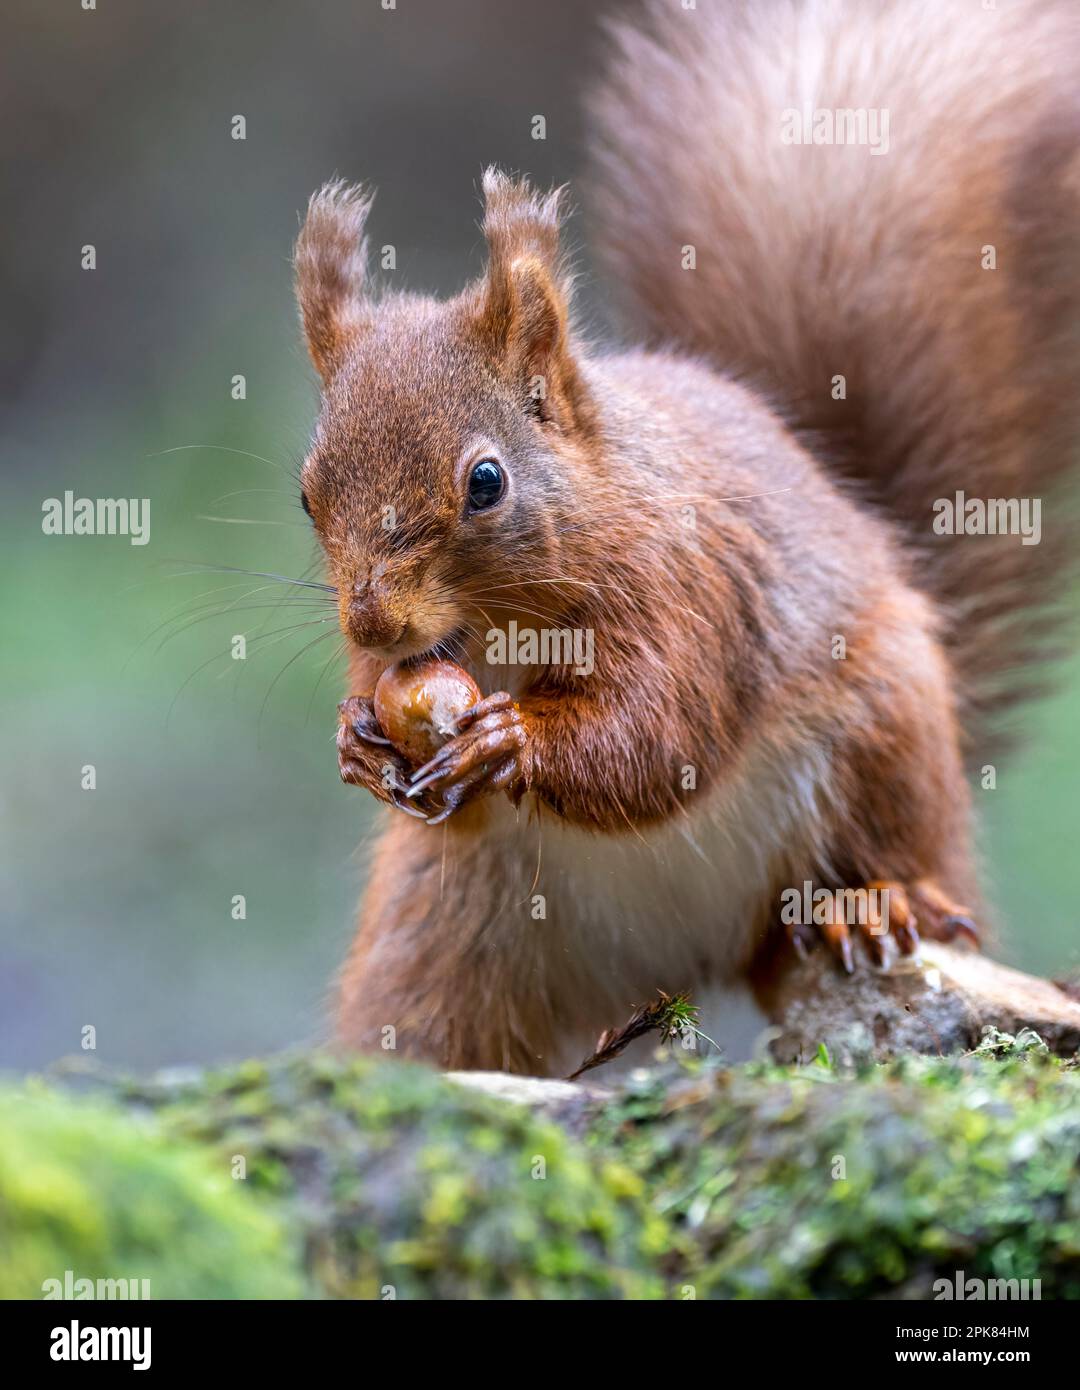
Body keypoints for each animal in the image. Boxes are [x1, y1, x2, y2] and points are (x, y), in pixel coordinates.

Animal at [290, 0, 1080, 1074]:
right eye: (306, 496)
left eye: (486, 482)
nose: (372, 626)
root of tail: (685, 960)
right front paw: (357, 737)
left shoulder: (688, 588)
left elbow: (659, 736)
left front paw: (509, 737)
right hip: (447, 929)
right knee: (426, 1021)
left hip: (887, 731)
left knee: (903, 850)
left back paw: (880, 899)